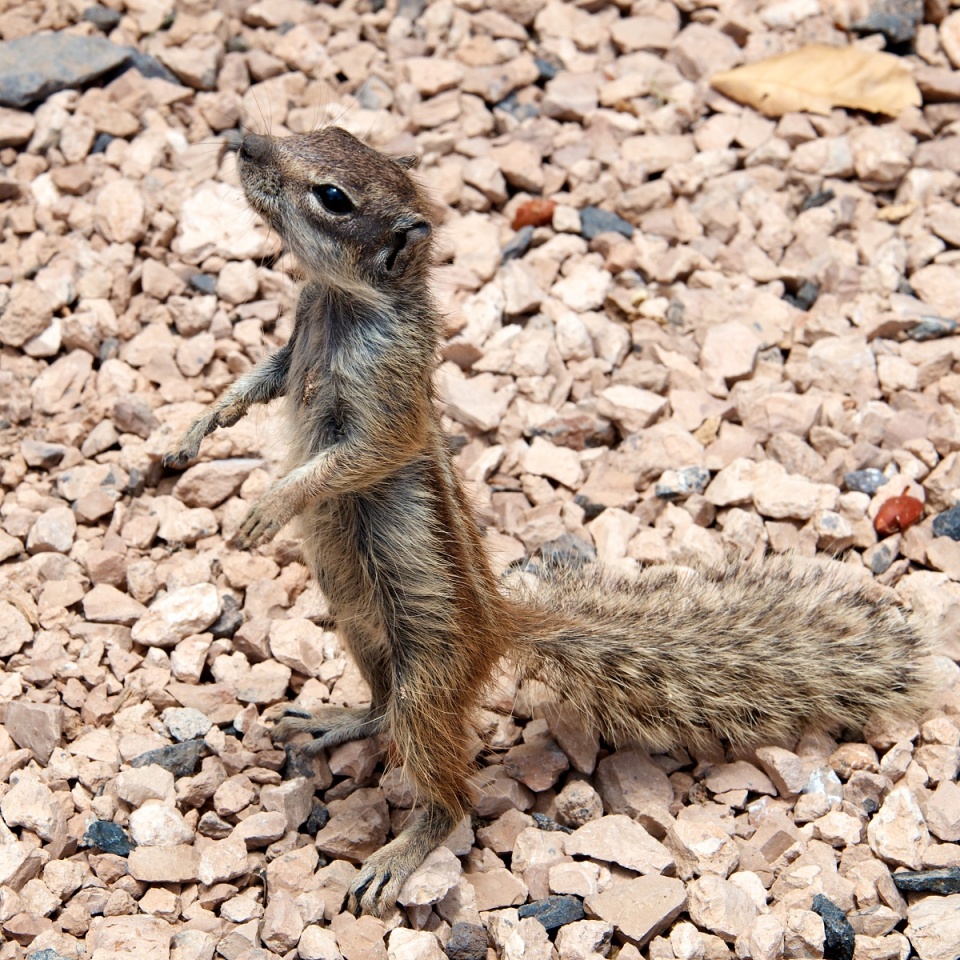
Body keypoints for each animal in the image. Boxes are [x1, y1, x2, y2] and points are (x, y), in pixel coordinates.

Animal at [163, 127, 937, 917]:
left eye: (332, 196)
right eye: (326, 134)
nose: (243, 141)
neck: (338, 302)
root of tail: (501, 627)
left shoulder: (387, 393)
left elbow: (358, 455)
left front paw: (266, 506)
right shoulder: (294, 342)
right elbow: (258, 379)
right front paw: (194, 432)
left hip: (429, 679)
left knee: (449, 791)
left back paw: (400, 853)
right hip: (358, 626)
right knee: (379, 707)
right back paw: (336, 719)